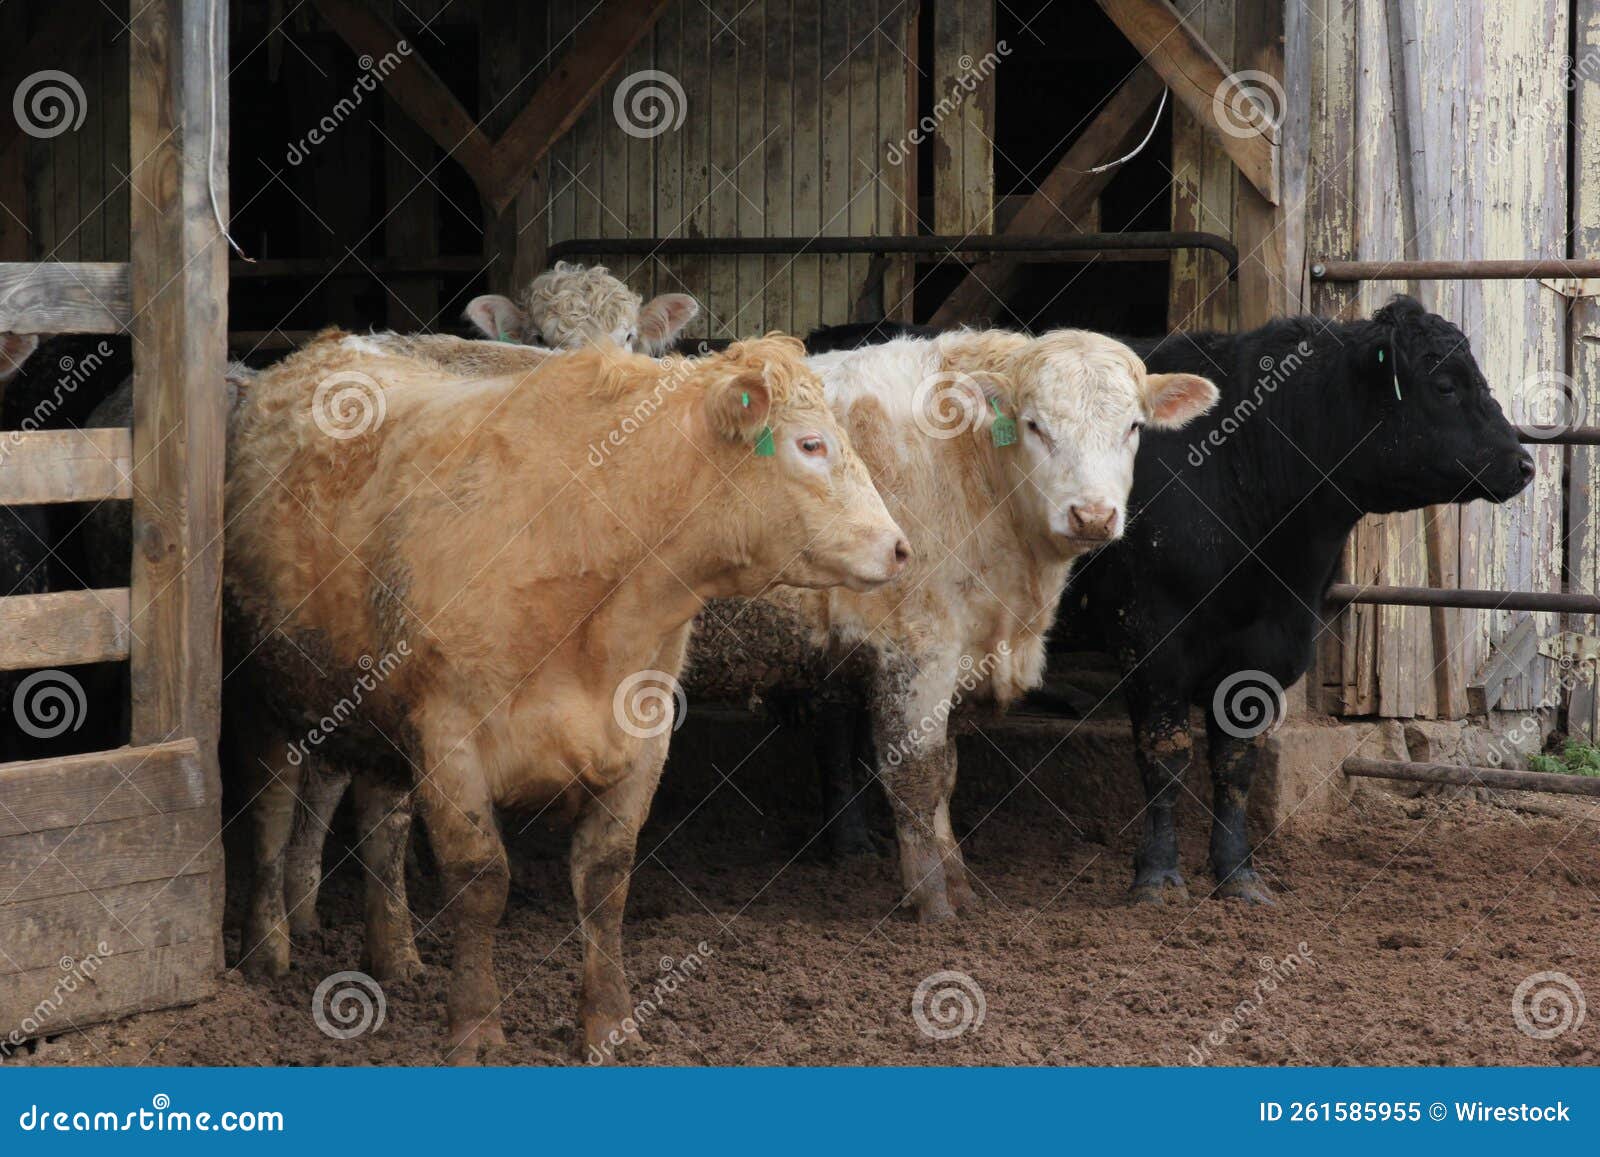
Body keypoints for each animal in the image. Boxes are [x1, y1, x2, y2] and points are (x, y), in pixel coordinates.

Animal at [224, 331, 909, 1062]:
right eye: (811, 444)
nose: (900, 548)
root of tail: (323, 349)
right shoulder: (448, 735)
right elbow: (480, 881)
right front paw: (476, 1028)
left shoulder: (641, 740)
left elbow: (606, 881)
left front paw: (611, 1023)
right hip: (263, 691)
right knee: (270, 812)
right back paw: (266, 954)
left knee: (383, 829)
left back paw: (397, 958)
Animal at [1064, 296, 1534, 905]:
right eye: (1446, 385)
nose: (1523, 464)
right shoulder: (1148, 635)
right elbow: (1165, 755)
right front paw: (1159, 878)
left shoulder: (1270, 644)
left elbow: (1236, 763)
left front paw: (1238, 874)